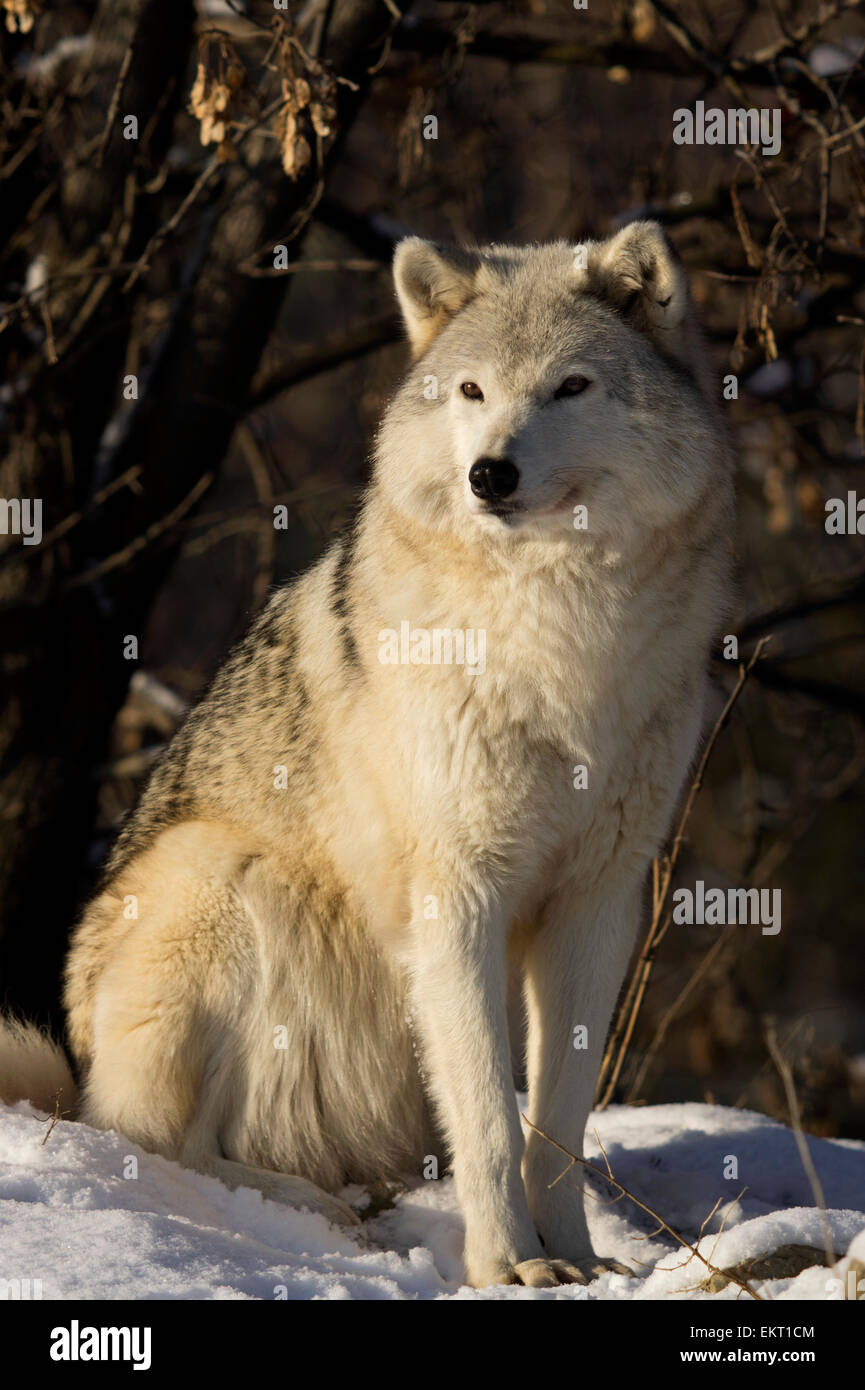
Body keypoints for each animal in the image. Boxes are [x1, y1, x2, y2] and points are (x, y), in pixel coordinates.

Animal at [1, 222, 732, 1288]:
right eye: (470, 392)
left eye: (571, 387)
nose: (489, 475)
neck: (558, 630)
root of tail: (79, 1058)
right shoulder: (458, 893)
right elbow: (487, 1117)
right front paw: (508, 1268)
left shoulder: (598, 899)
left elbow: (555, 1119)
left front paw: (577, 1260)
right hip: (223, 883)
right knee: (154, 1142)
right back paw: (315, 1209)